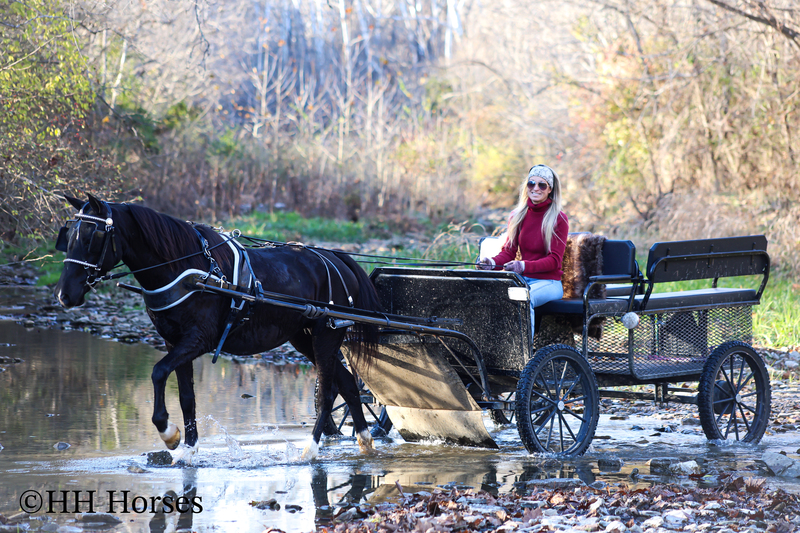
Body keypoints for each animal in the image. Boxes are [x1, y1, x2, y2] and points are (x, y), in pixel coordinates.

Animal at [53, 194, 383, 463]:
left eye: (92, 236)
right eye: (68, 236)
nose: (64, 295)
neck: (190, 270)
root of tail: (335, 256)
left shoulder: (198, 339)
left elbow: (158, 372)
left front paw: (168, 432)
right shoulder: (175, 342)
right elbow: (186, 397)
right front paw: (187, 449)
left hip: (326, 335)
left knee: (327, 391)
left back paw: (311, 450)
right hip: (304, 339)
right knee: (348, 385)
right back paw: (365, 441)